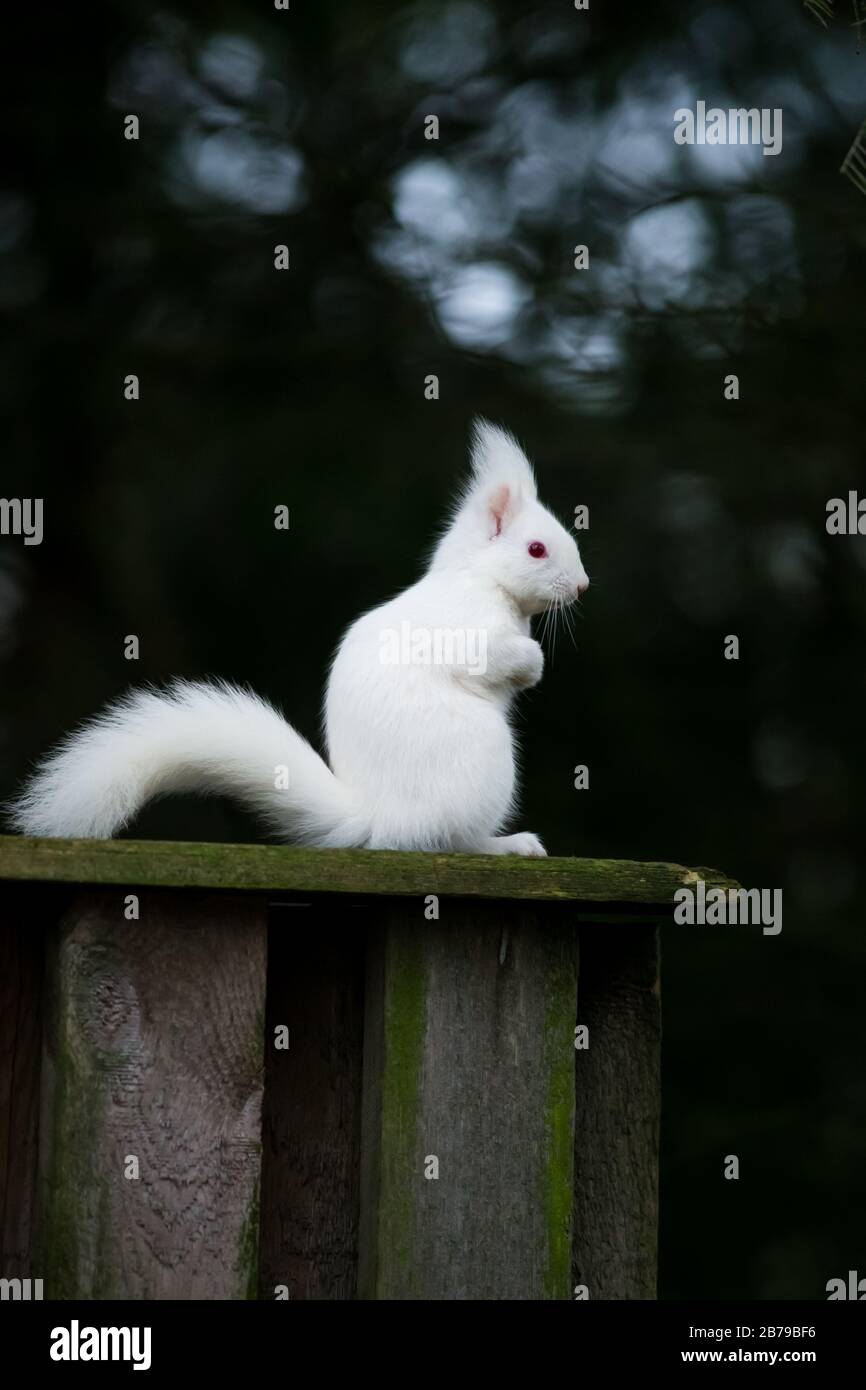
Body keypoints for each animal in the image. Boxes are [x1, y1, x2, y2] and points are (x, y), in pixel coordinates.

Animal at [10, 421, 588, 856]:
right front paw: (532, 663)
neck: (482, 579)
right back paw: (508, 844)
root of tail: (379, 819)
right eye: (537, 549)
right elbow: (494, 658)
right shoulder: (466, 627)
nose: (582, 585)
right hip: (481, 766)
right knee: (449, 840)